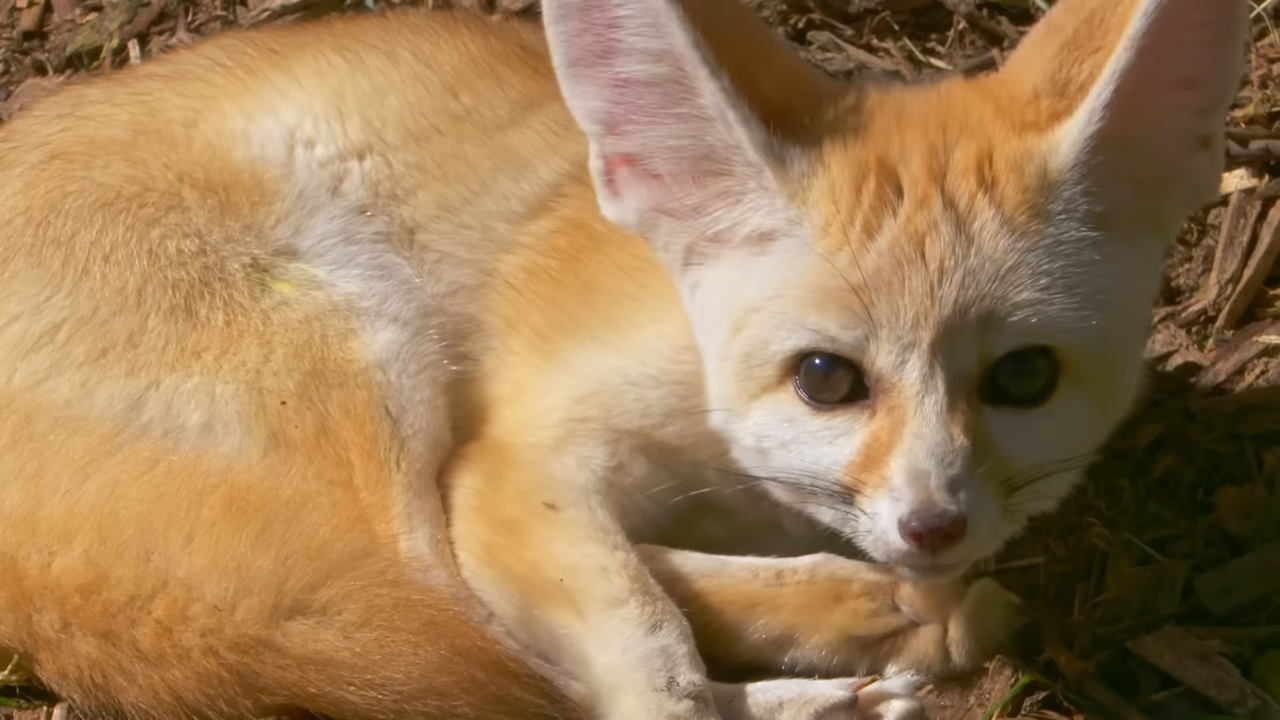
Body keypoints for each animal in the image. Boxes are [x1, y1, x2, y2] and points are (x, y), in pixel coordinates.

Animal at [0, 0, 1246, 717]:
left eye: (1022, 379)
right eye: (825, 379)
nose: (931, 526)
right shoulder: (514, 460)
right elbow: (647, 659)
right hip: (365, 353)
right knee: (462, 624)